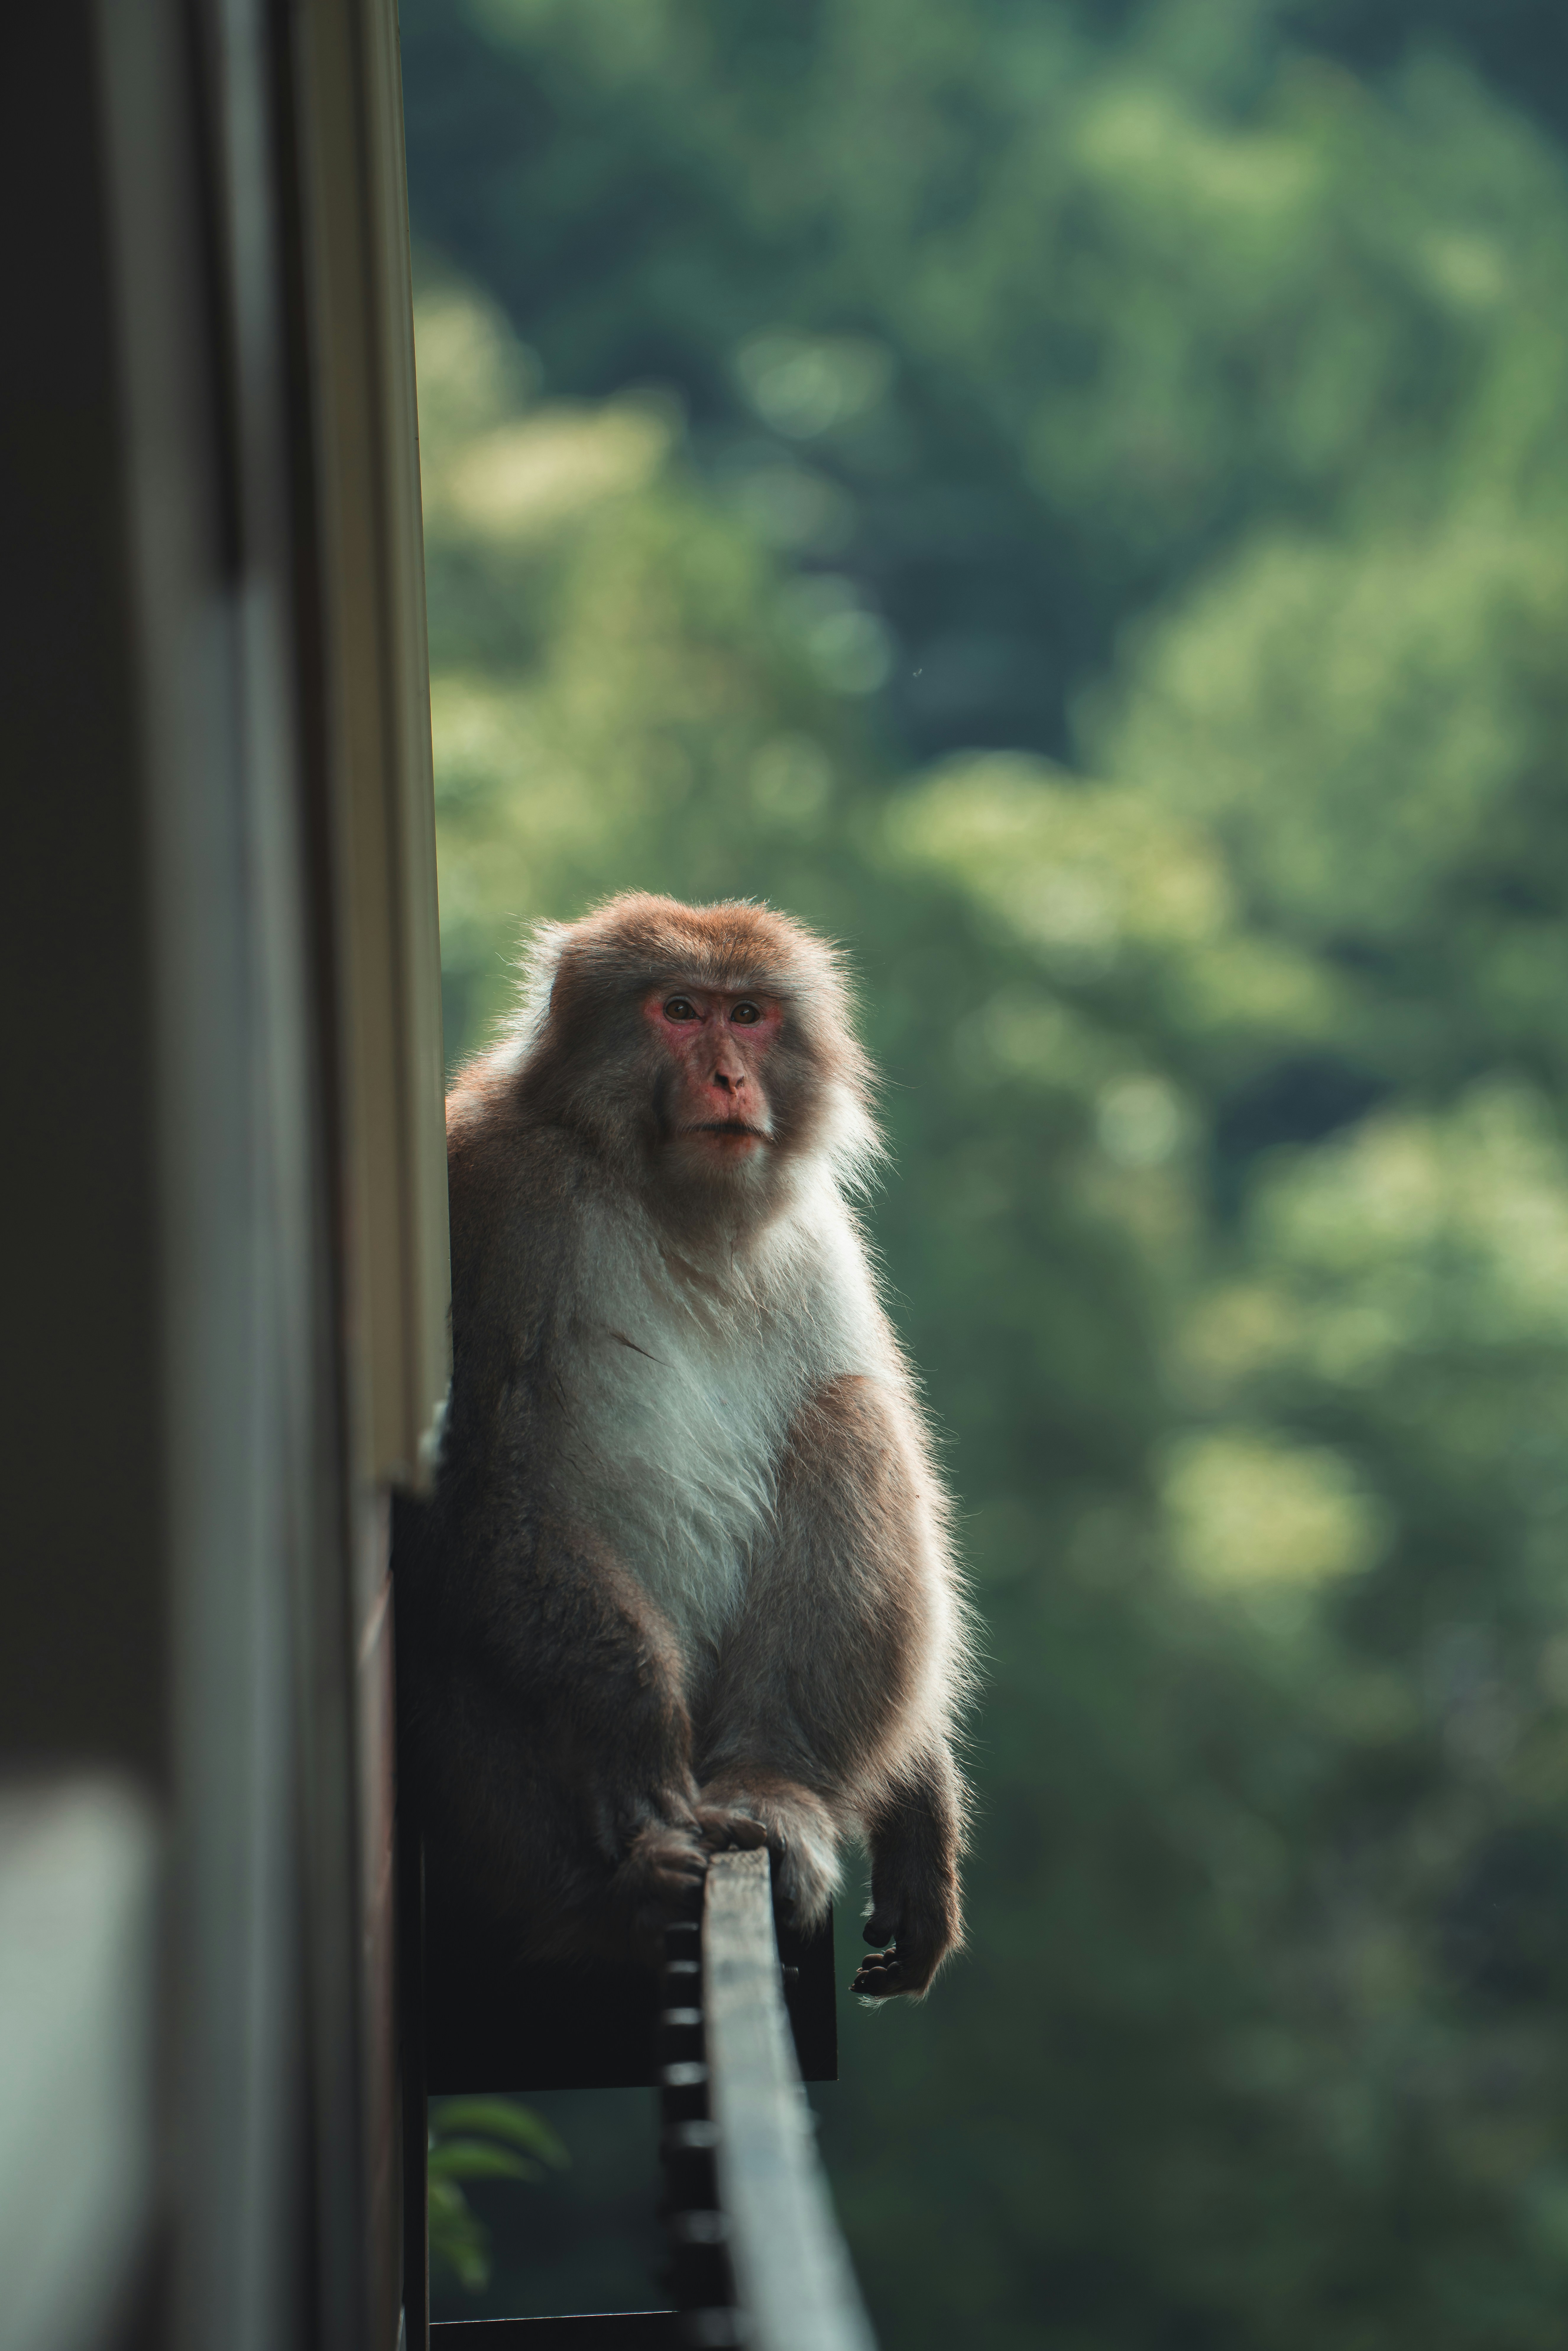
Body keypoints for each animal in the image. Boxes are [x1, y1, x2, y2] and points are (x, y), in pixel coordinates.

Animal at [394, 893, 971, 1998]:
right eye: (678, 1010)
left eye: (746, 1014)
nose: (729, 1078)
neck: (676, 1199)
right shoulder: (502, 1193)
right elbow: (487, 1481)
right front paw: (637, 1724)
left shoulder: (818, 1236)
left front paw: (918, 1812)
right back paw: (600, 1900)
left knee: (849, 1417)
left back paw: (773, 1786)